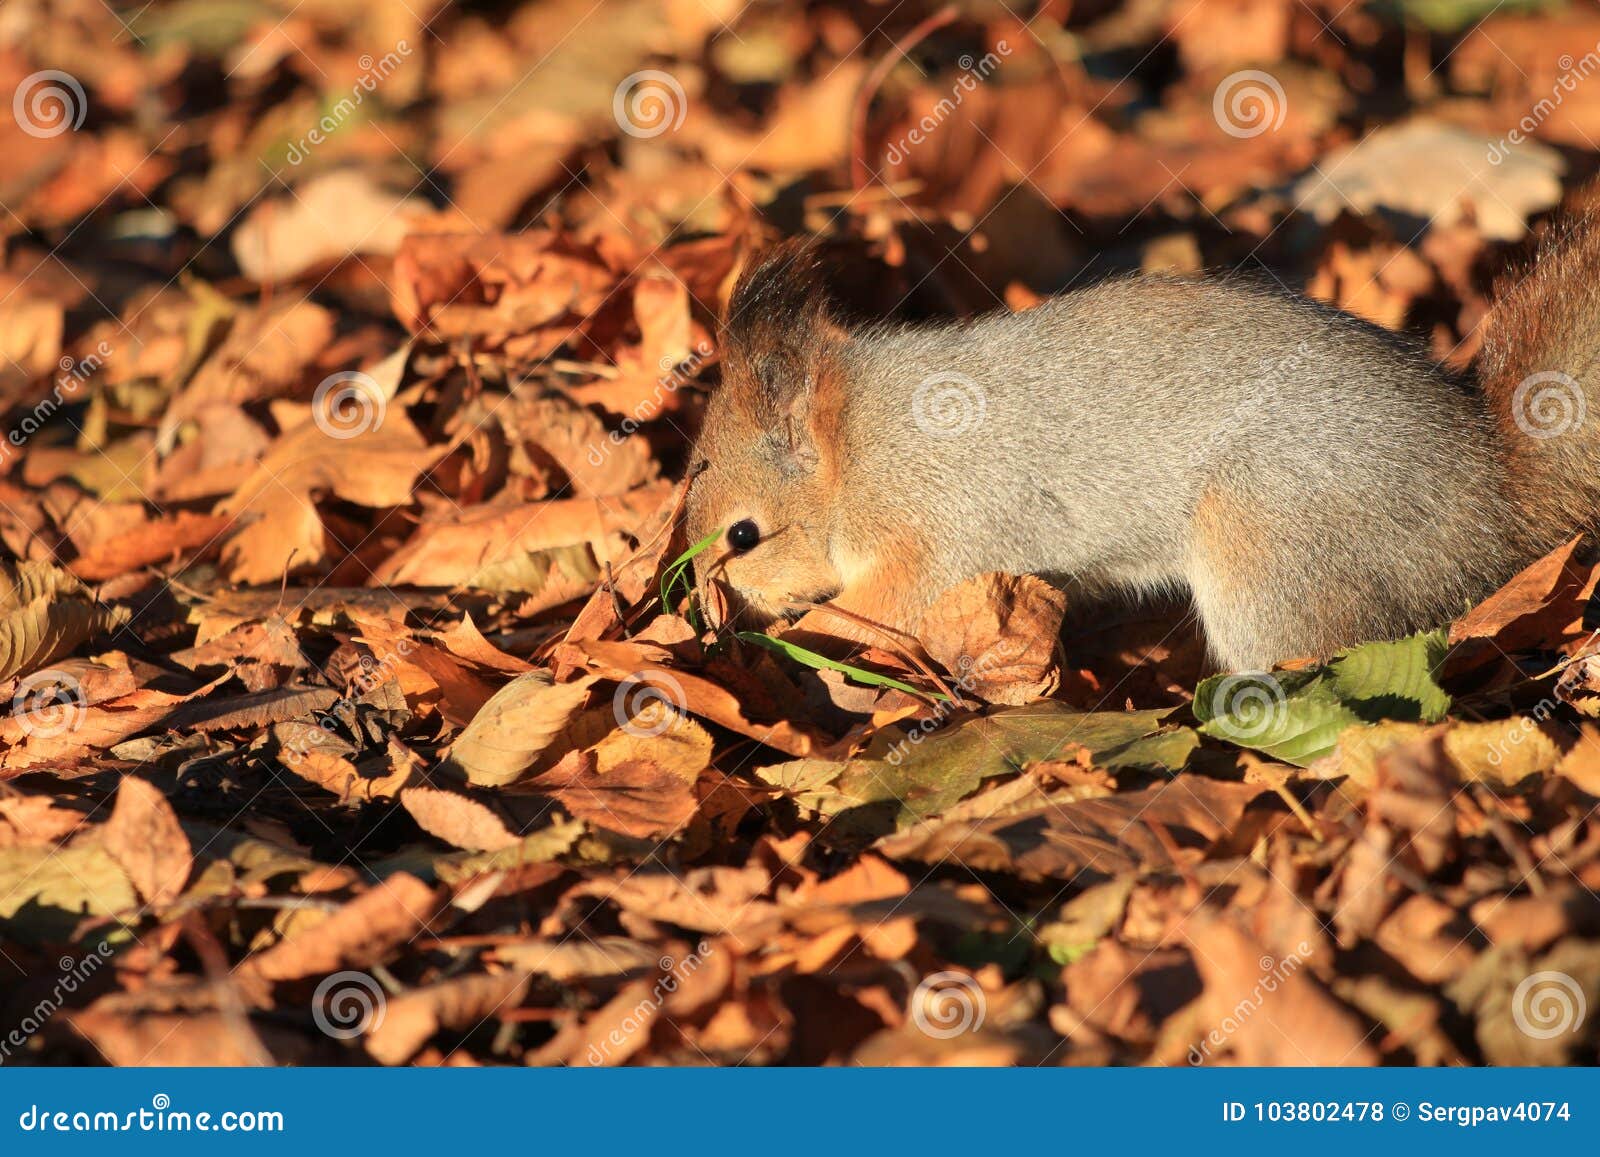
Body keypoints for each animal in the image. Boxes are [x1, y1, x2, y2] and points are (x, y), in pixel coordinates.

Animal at [684, 216, 1600, 672]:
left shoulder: (934, 530)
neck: (861, 447)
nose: (706, 603)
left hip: (1270, 545)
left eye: (744, 534)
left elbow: (879, 609)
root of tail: (1489, 500)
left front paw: (791, 634)